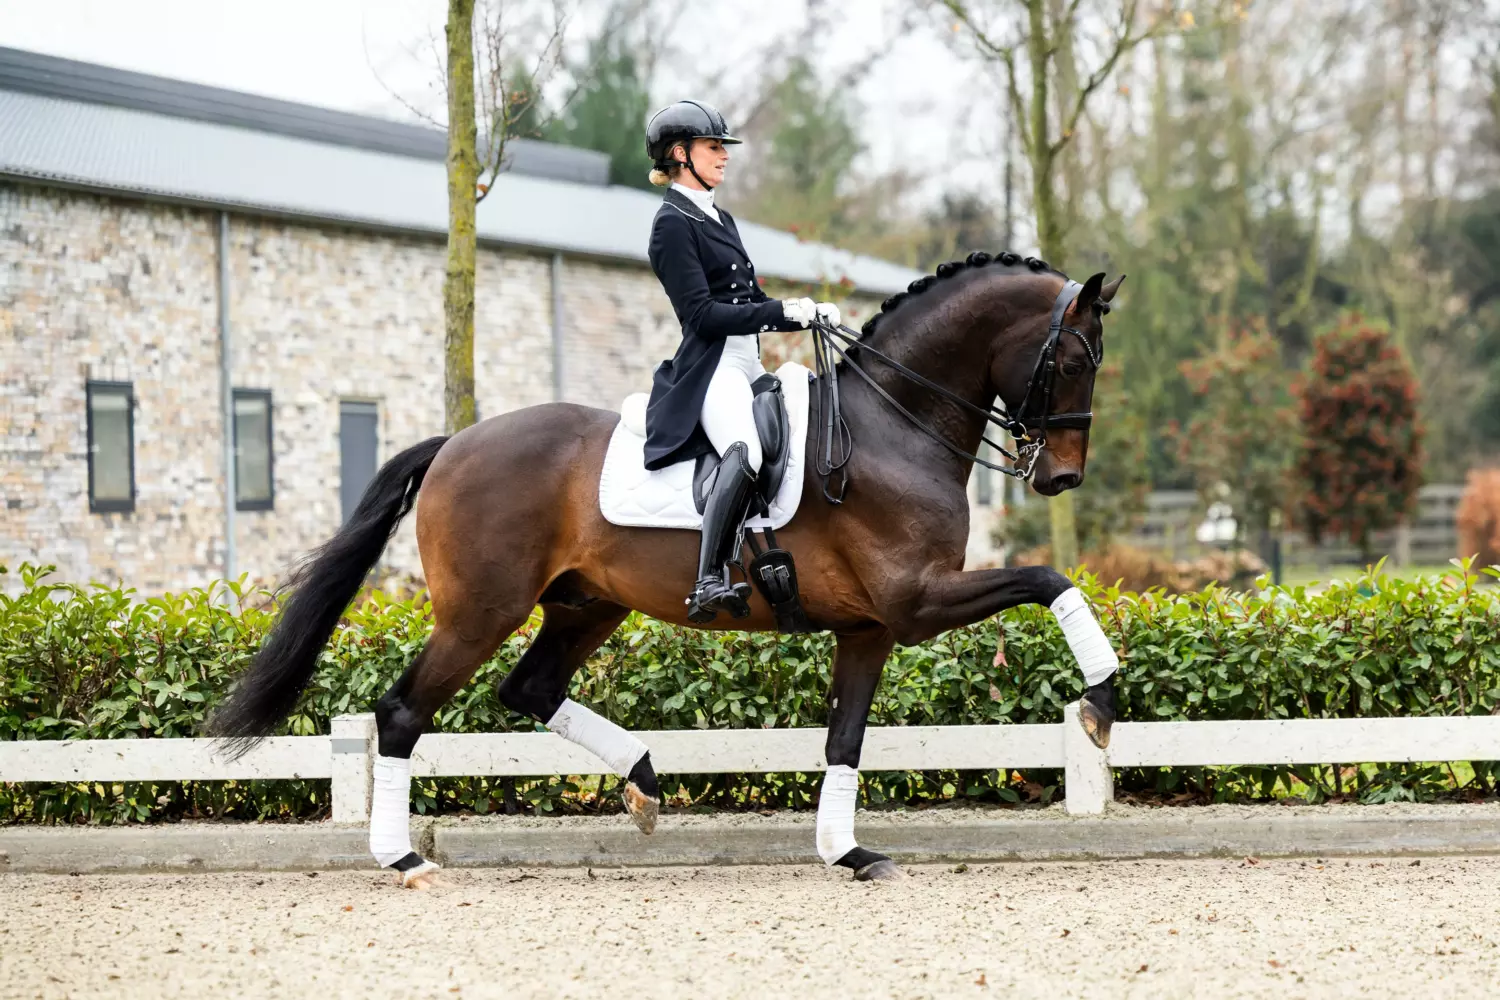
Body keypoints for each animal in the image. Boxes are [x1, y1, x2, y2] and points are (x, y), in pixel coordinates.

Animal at [209, 251, 1125, 886]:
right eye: (1075, 362)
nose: (1061, 478)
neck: (893, 425)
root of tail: (455, 445)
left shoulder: (870, 628)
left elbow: (845, 740)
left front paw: (848, 852)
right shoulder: (917, 603)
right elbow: (1051, 581)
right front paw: (1100, 704)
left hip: (585, 605)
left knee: (530, 689)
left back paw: (644, 780)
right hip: (480, 612)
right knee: (403, 713)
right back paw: (403, 860)